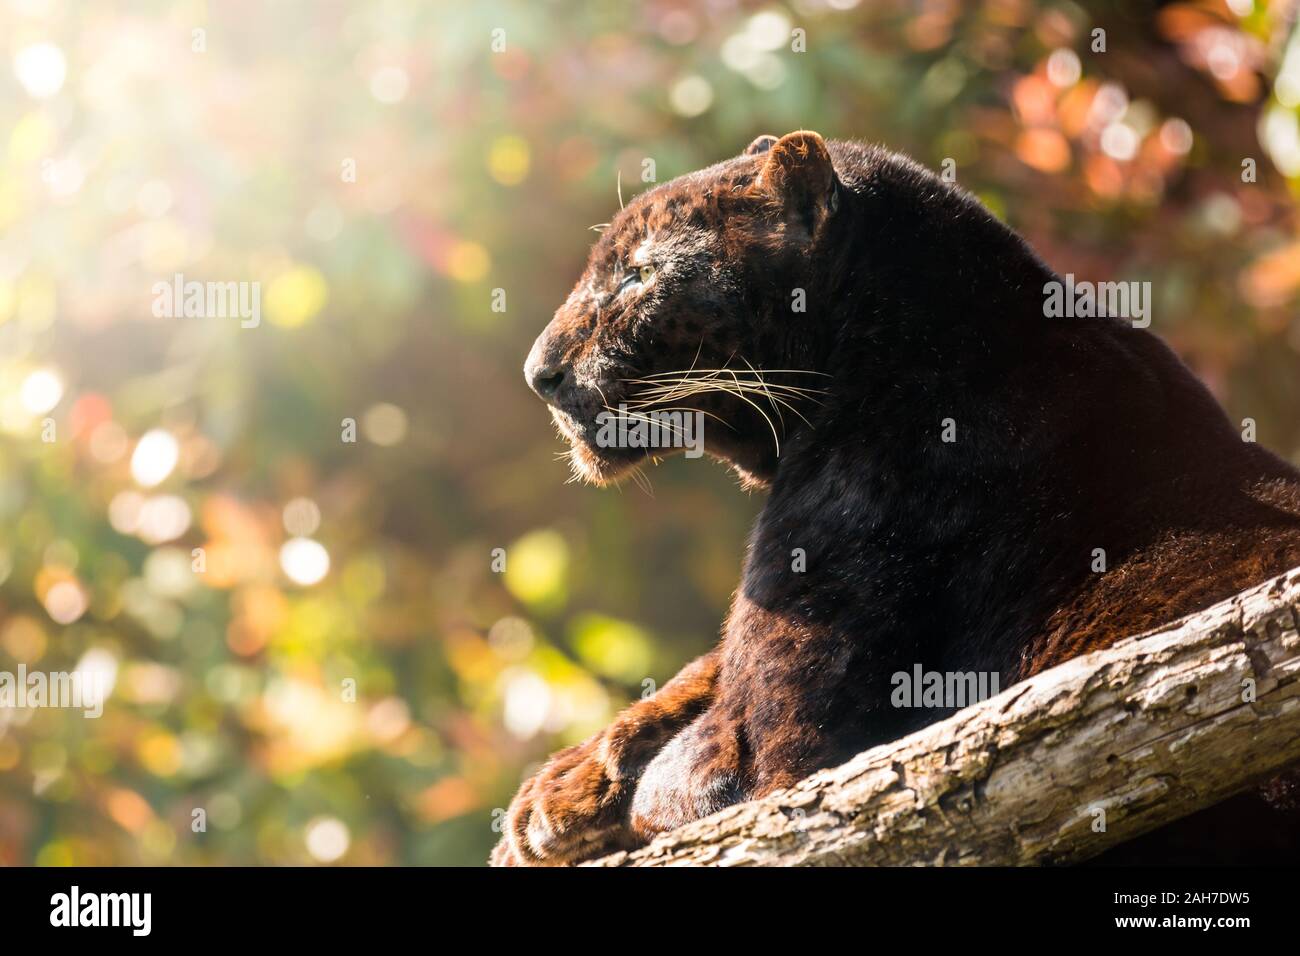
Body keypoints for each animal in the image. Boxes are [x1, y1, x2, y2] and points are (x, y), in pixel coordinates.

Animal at [494, 130, 1300, 866]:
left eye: (638, 276)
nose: (538, 374)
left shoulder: (778, 761)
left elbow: (685, 765)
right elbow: (704, 669)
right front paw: (555, 794)